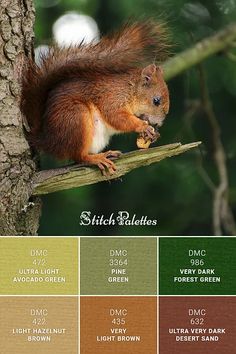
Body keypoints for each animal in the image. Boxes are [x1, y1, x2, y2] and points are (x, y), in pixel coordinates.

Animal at [21, 20, 170, 174]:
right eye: (156, 101)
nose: (158, 124)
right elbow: (116, 116)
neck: (130, 89)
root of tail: (48, 140)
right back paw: (96, 158)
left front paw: (154, 134)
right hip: (76, 118)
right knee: (79, 156)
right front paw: (143, 126)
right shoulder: (112, 97)